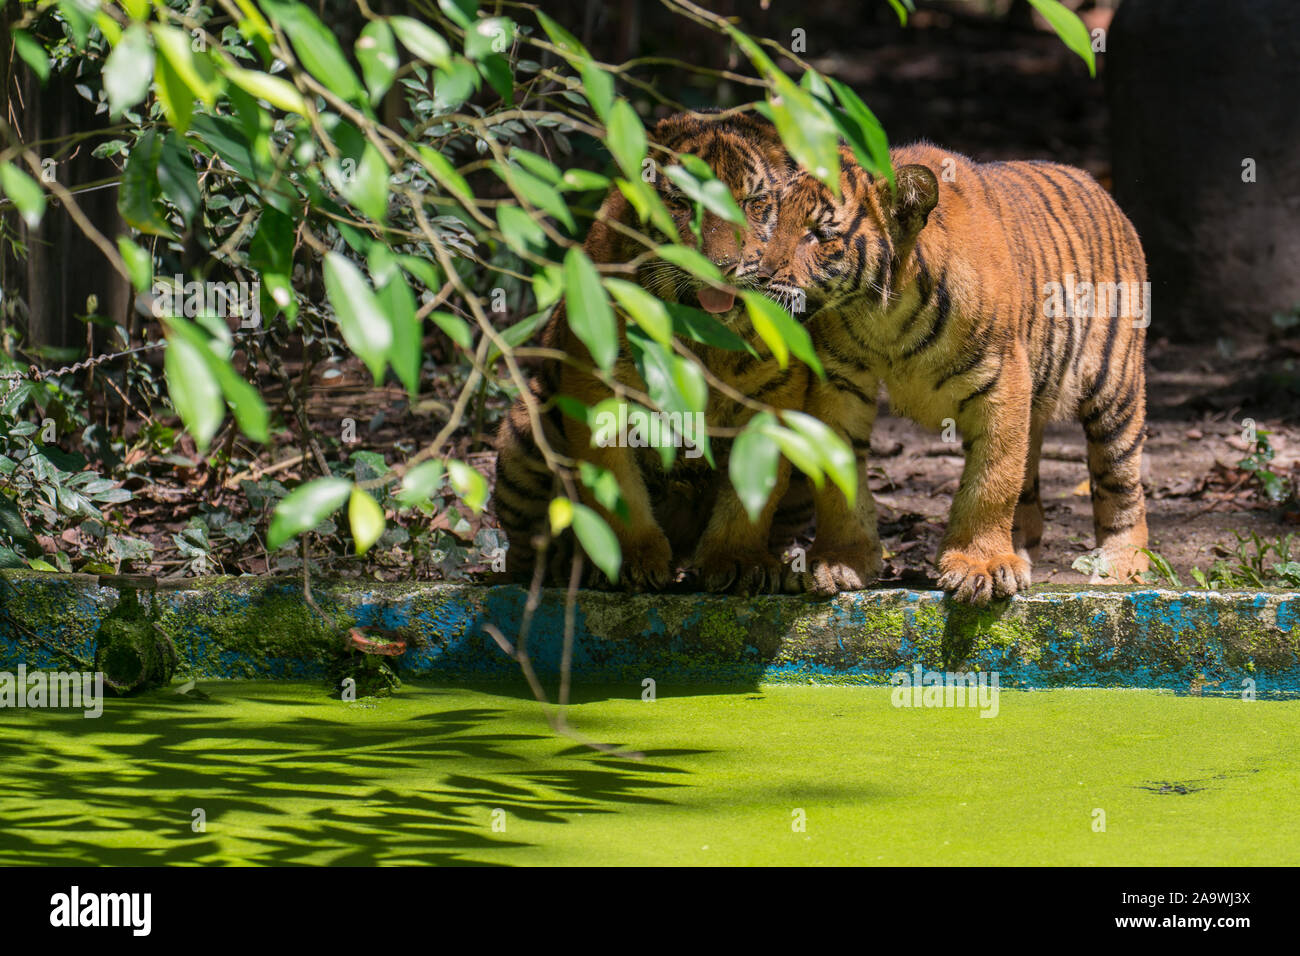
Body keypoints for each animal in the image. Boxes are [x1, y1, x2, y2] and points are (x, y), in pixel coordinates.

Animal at [493, 111, 815, 594]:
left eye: (754, 202)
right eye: (681, 204)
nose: (722, 268)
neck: (706, 341)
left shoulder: (776, 396)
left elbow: (750, 497)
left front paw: (739, 561)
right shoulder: (597, 388)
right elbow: (616, 486)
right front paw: (631, 560)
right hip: (524, 427)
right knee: (523, 549)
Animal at [746, 143, 1150, 604]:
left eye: (820, 234)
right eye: (772, 221)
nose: (758, 277)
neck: (884, 314)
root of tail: (1098, 187)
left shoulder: (1002, 381)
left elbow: (992, 480)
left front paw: (981, 566)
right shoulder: (840, 383)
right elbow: (836, 479)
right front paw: (839, 562)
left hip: (1114, 389)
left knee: (1121, 482)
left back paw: (1120, 566)